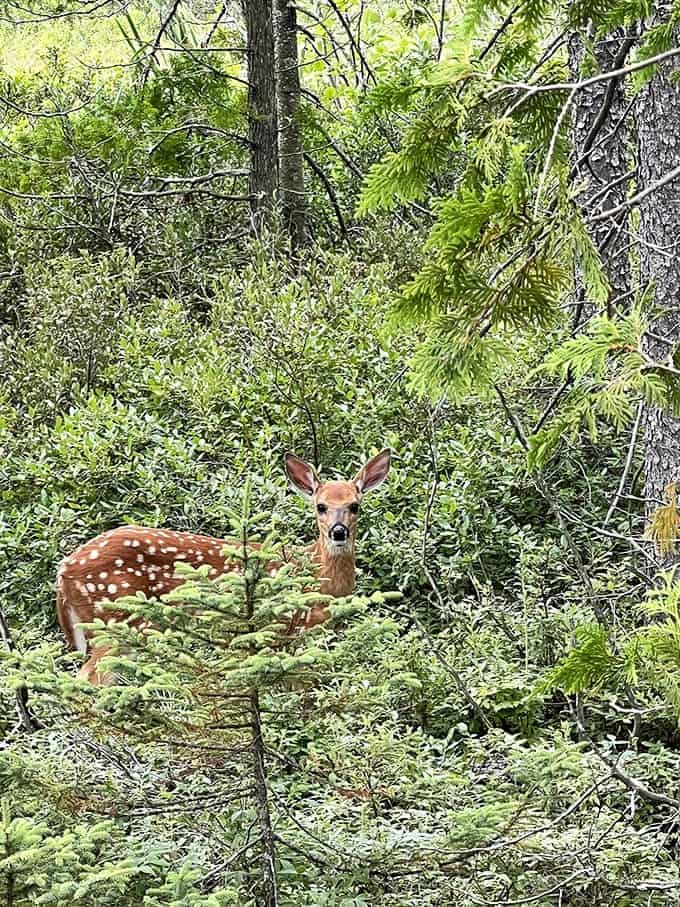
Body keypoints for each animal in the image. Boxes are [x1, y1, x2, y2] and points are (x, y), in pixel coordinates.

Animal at [56, 449, 391, 684]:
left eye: (354, 505)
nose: (338, 532)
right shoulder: (293, 632)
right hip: (113, 617)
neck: (322, 581)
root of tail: (63, 572)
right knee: (89, 678)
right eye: (321, 506)